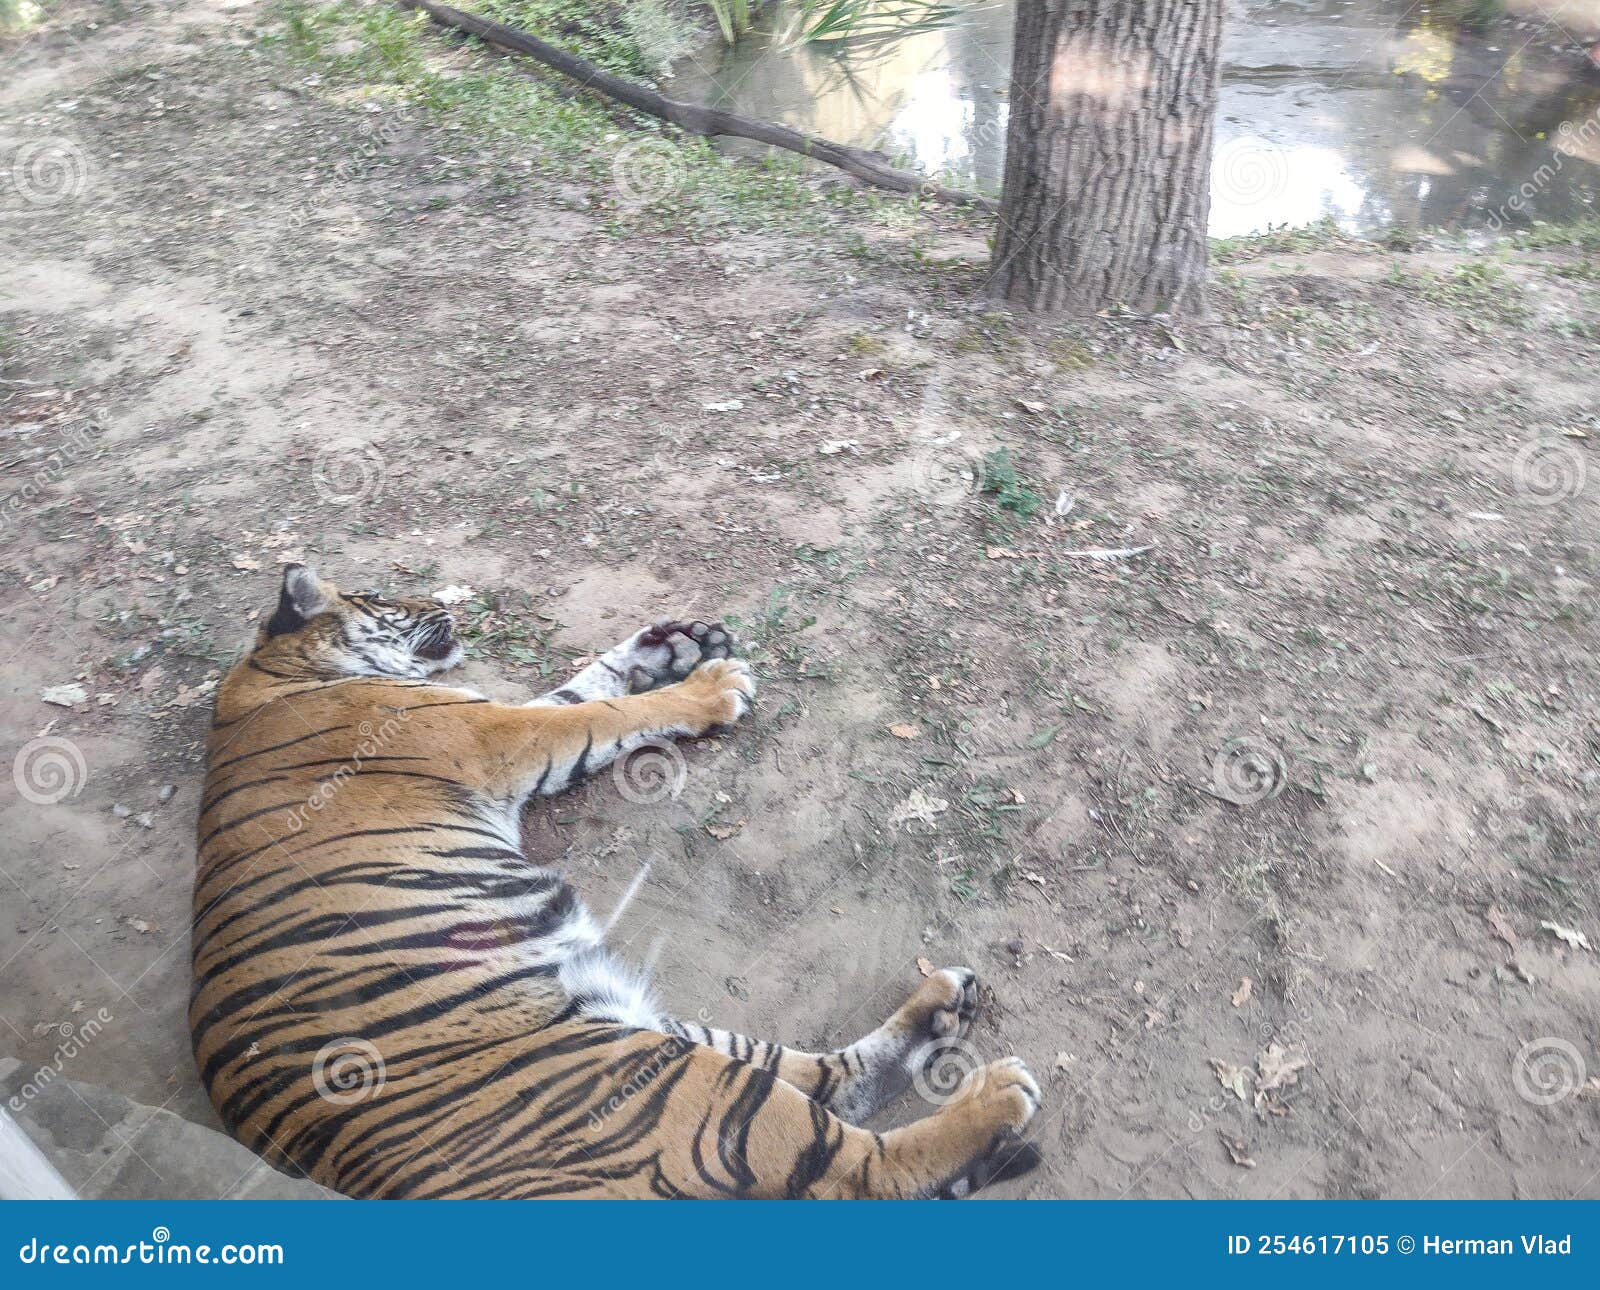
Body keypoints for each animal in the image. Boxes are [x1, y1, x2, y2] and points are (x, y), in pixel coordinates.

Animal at [190, 564, 1043, 1198]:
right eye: (382, 597)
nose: (443, 601)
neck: (275, 670)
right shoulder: (496, 732)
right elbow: (596, 715)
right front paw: (711, 681)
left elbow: (585, 684)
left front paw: (672, 644)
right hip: (665, 1091)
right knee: (853, 1166)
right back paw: (997, 1095)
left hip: (648, 1036)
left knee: (830, 1079)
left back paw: (942, 1010)